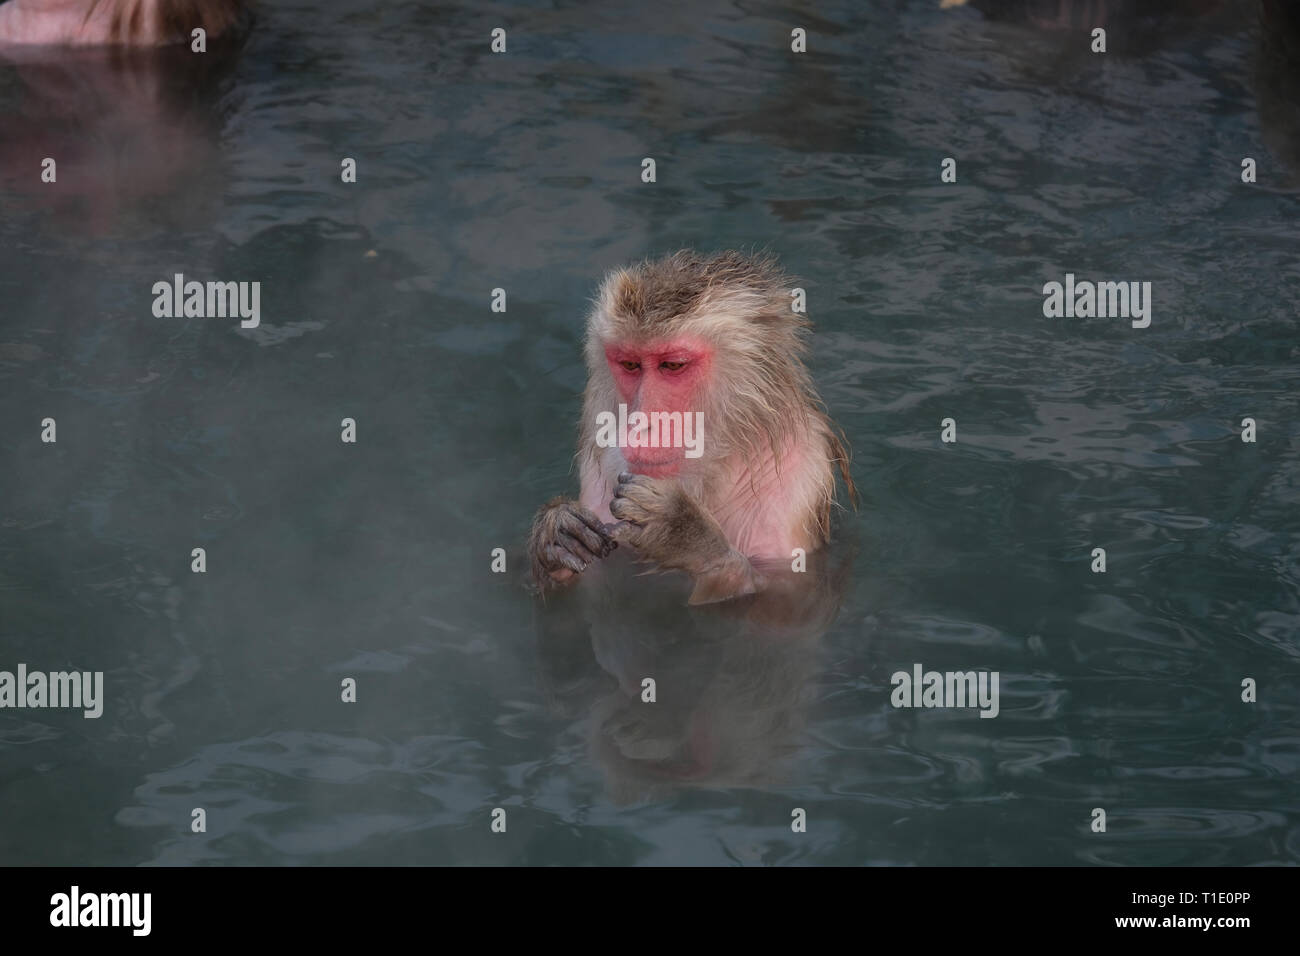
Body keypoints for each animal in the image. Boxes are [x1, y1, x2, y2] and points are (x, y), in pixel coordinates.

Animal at [528, 249, 855, 606]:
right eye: (630, 364)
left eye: (673, 365)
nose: (642, 423)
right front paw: (557, 531)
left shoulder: (798, 478)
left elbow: (788, 594)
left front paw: (684, 531)